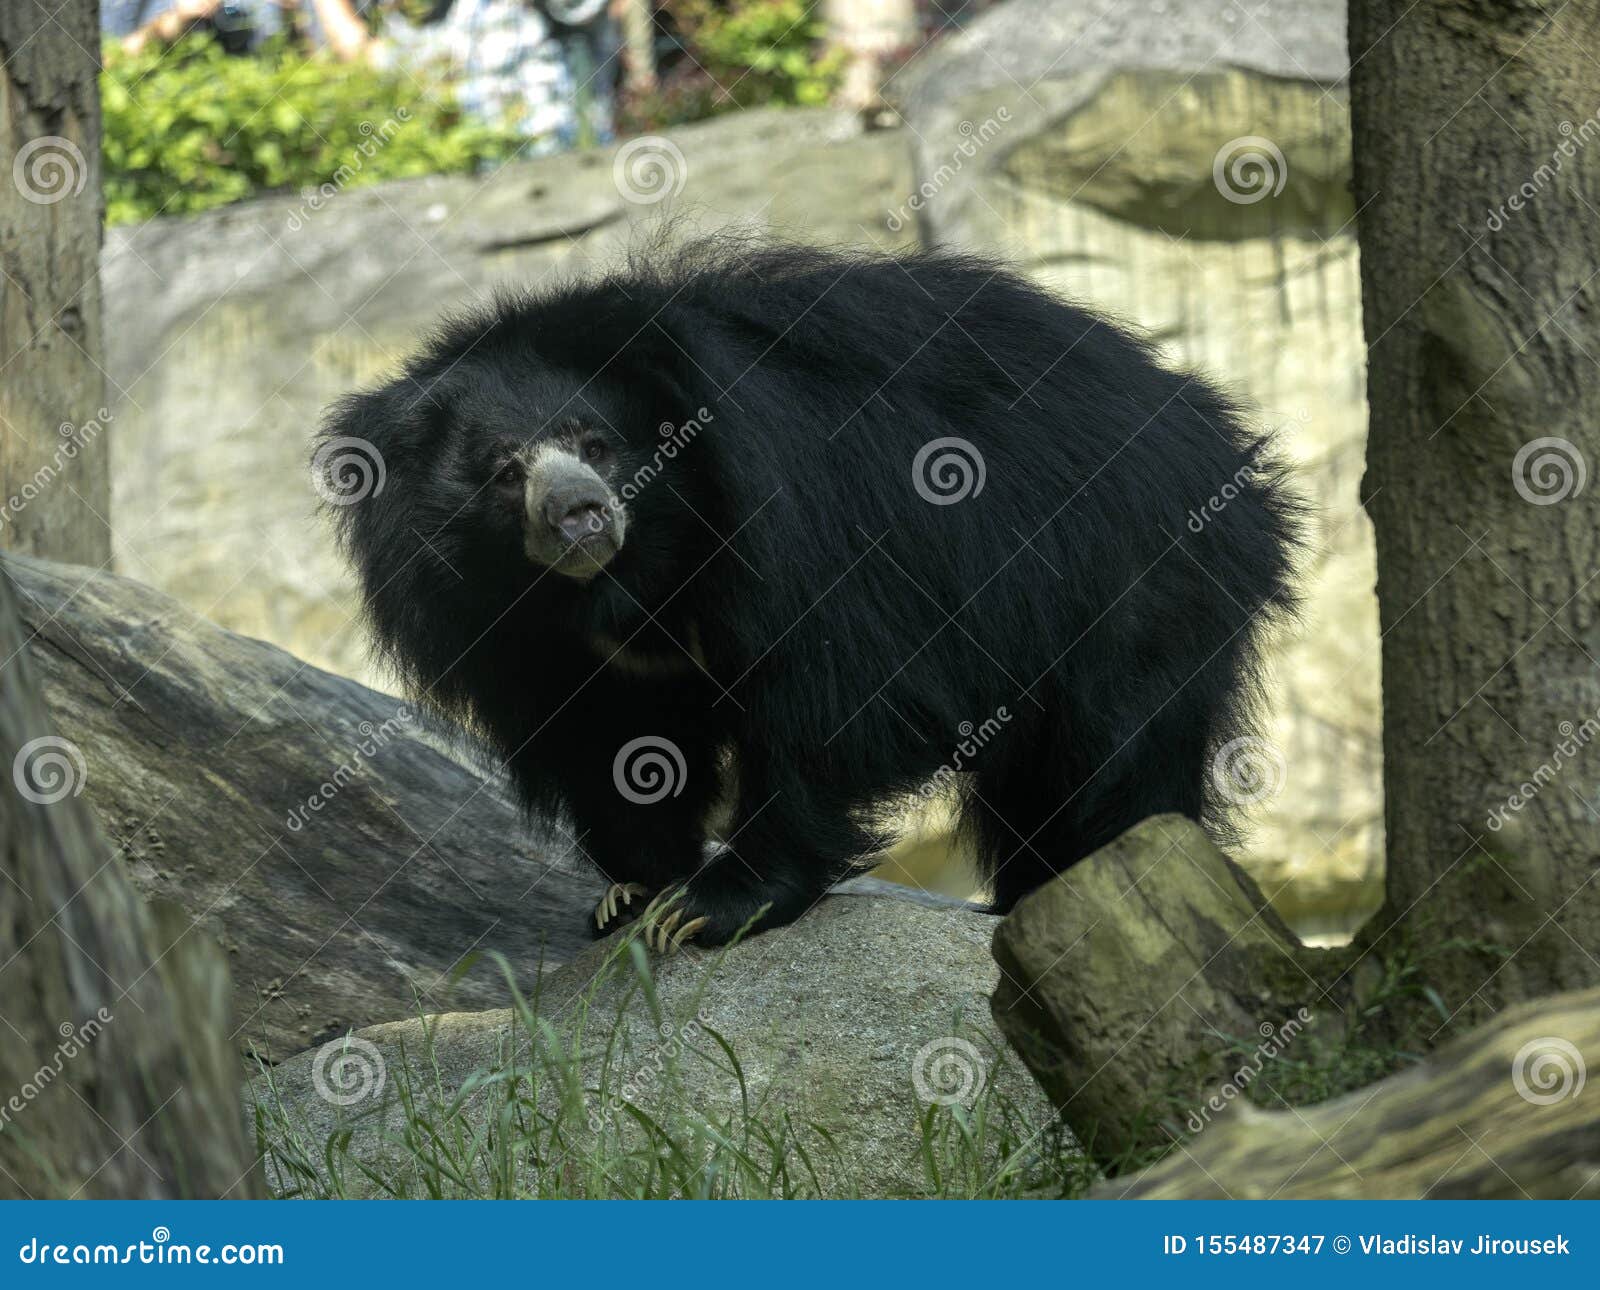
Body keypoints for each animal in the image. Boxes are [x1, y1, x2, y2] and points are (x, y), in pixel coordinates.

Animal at [317, 239, 1301, 950]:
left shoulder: (797, 521)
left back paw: (1096, 878)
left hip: (1133, 570)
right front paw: (630, 892)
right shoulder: (511, 629)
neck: (636, 578)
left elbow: (825, 693)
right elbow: (604, 733)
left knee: (1110, 749)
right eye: (503, 471)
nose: (580, 516)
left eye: (596, 443)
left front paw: (711, 905)